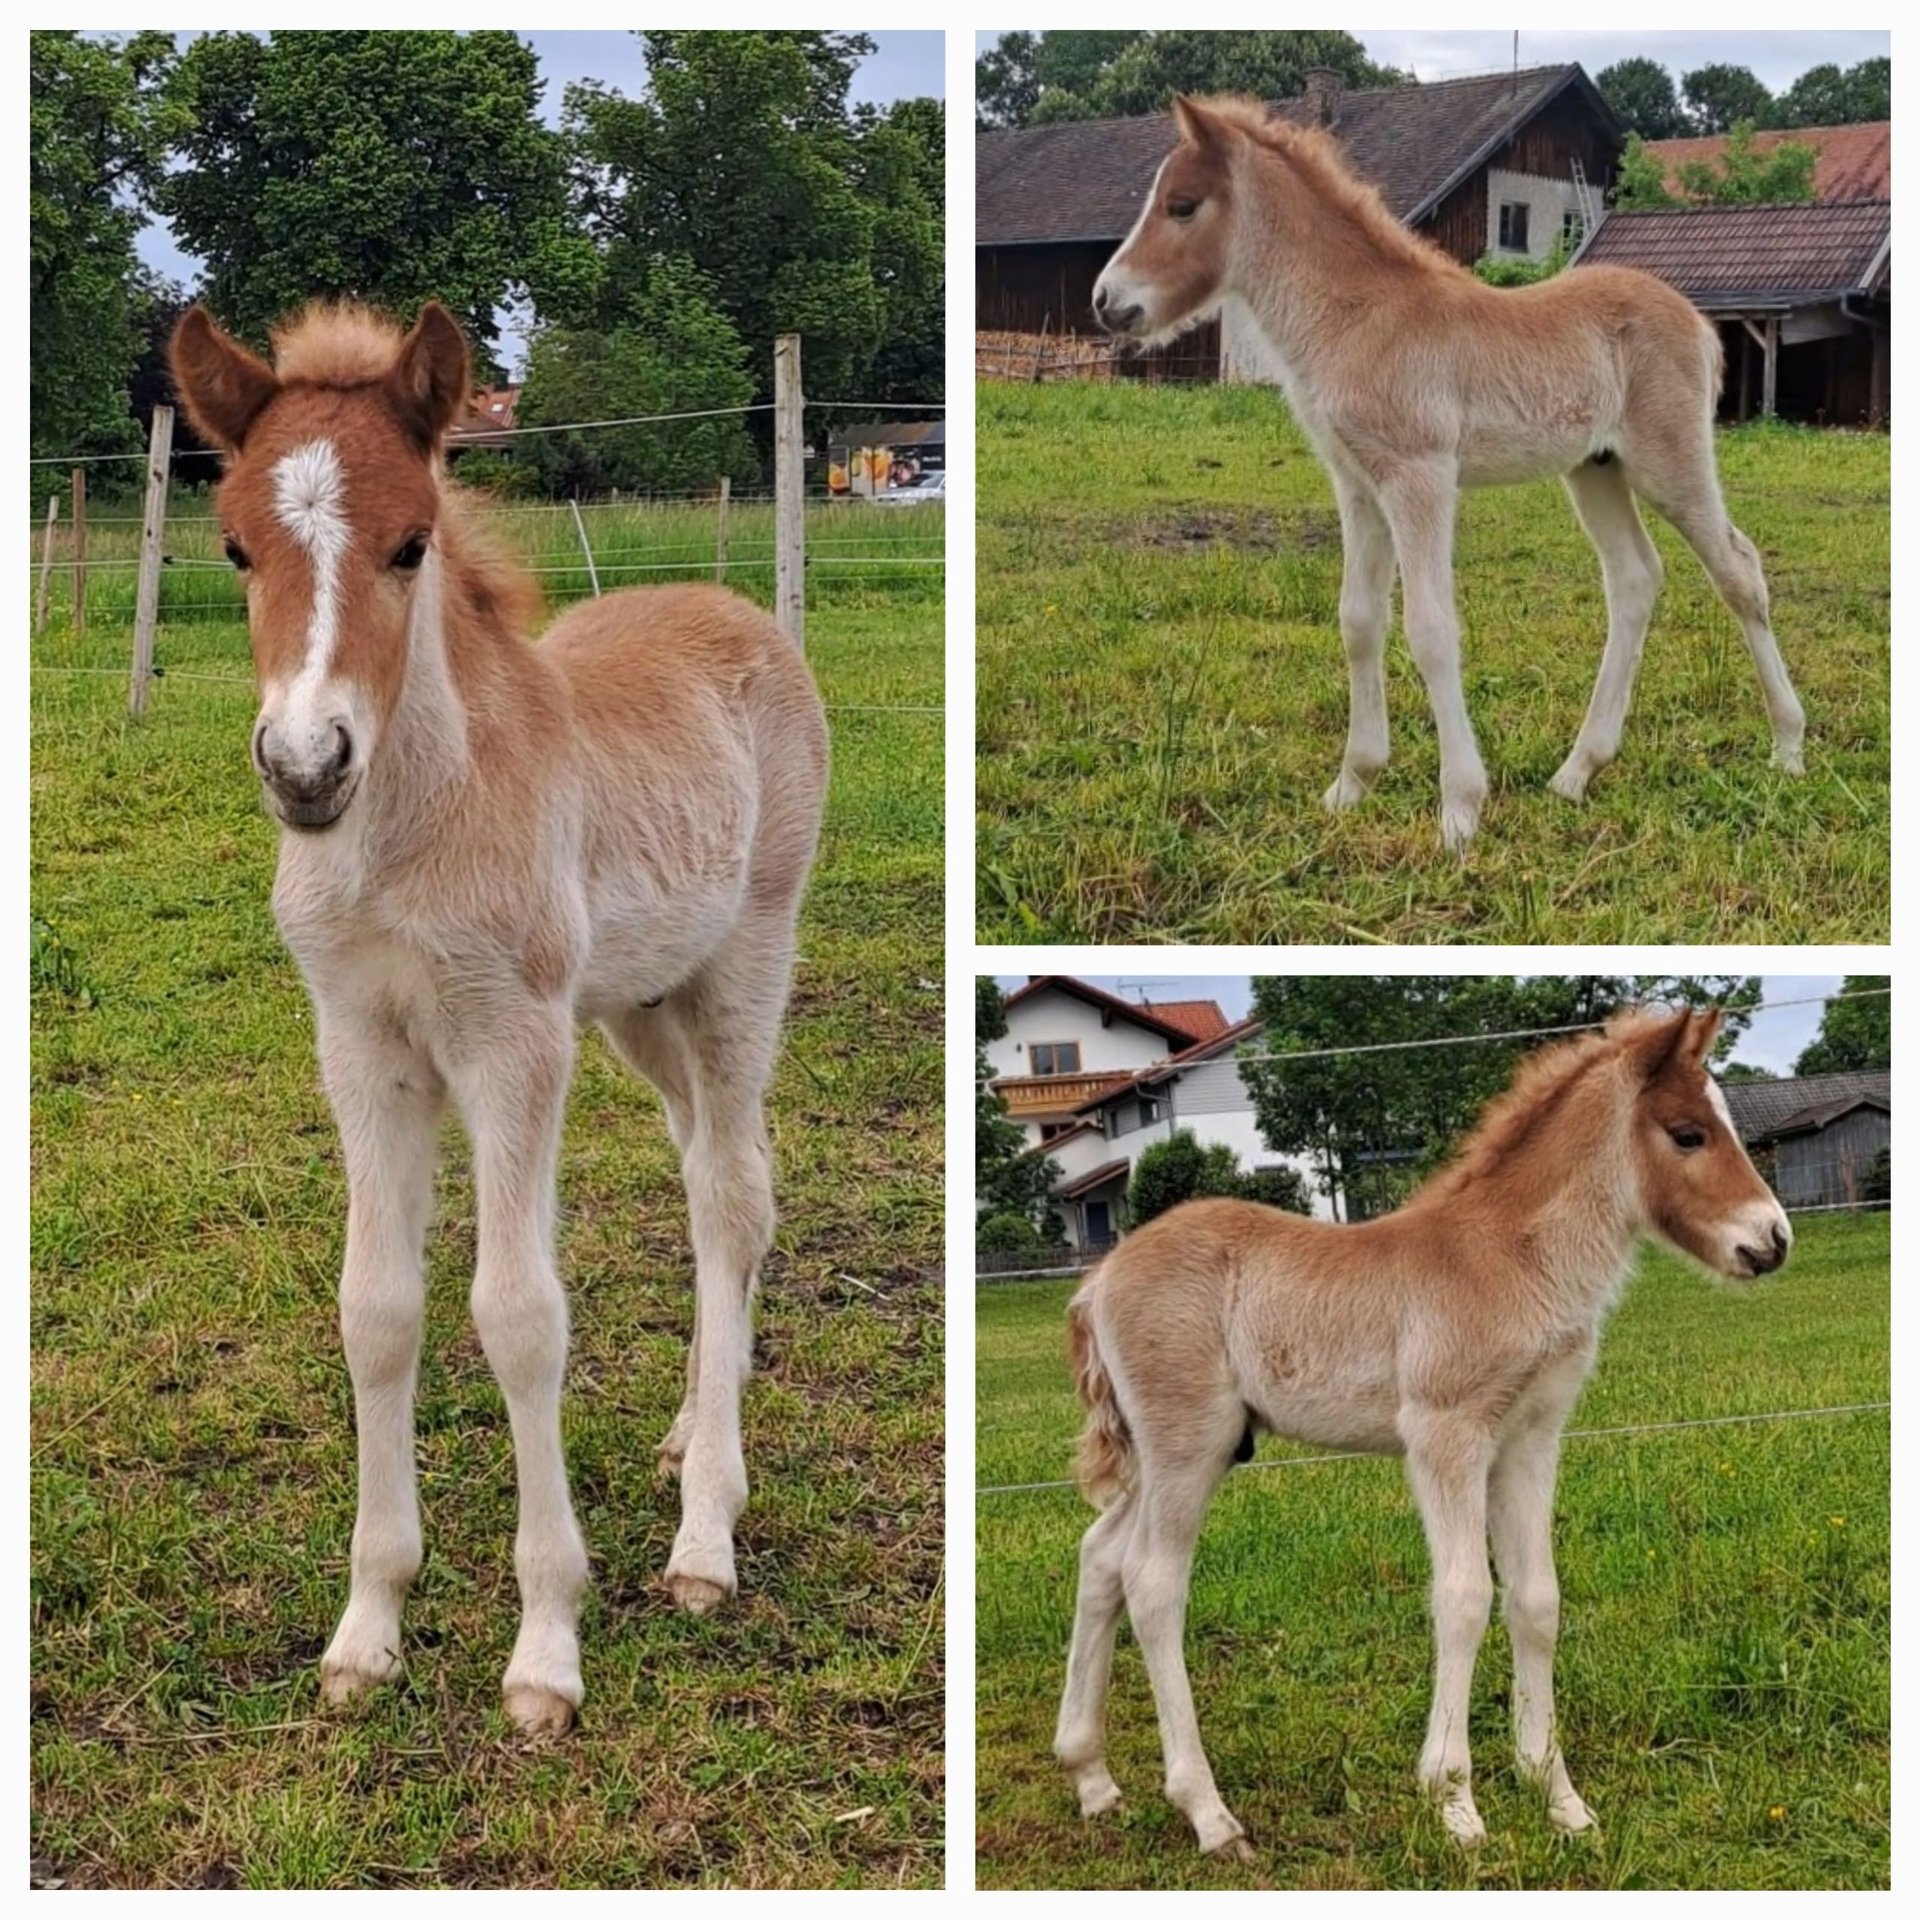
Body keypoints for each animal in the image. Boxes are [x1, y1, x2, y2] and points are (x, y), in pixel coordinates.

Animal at [168, 300, 829, 1732]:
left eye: (411, 541)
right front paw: (366, 1633)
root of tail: (733, 605)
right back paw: (694, 1428)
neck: (408, 831)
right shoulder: (361, 1046)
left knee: (733, 1197)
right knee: (714, 1171)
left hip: (744, 967)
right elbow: (377, 1311)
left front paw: (545, 1651)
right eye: (234, 546)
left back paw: (707, 1533)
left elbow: (520, 1316)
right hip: (642, 1006)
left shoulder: (513, 1044)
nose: (306, 768)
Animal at [1055, 1005, 1791, 1856]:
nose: (1774, 1240)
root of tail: (1100, 1280)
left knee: (1101, 1557)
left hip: (1176, 1452)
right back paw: (1209, 1814)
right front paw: (1454, 1803)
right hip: (1187, 1446)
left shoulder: (1531, 1440)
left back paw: (1091, 1778)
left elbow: (1536, 1599)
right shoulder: (1446, 1436)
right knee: (1152, 1581)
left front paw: (1558, 1796)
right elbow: (1465, 1597)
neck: (1508, 1258)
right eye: (1687, 1134)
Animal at [1092, 94, 1806, 849]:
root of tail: (1698, 320)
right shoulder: (1358, 484)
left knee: (1738, 570)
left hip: (1670, 459)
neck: (1361, 319)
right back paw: (1576, 772)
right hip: (1595, 468)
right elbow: (1359, 620)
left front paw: (1460, 809)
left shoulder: (1421, 478)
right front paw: (1353, 783)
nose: (1107, 302)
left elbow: (1432, 629)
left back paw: (1788, 746)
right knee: (1635, 578)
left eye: (1182, 205)